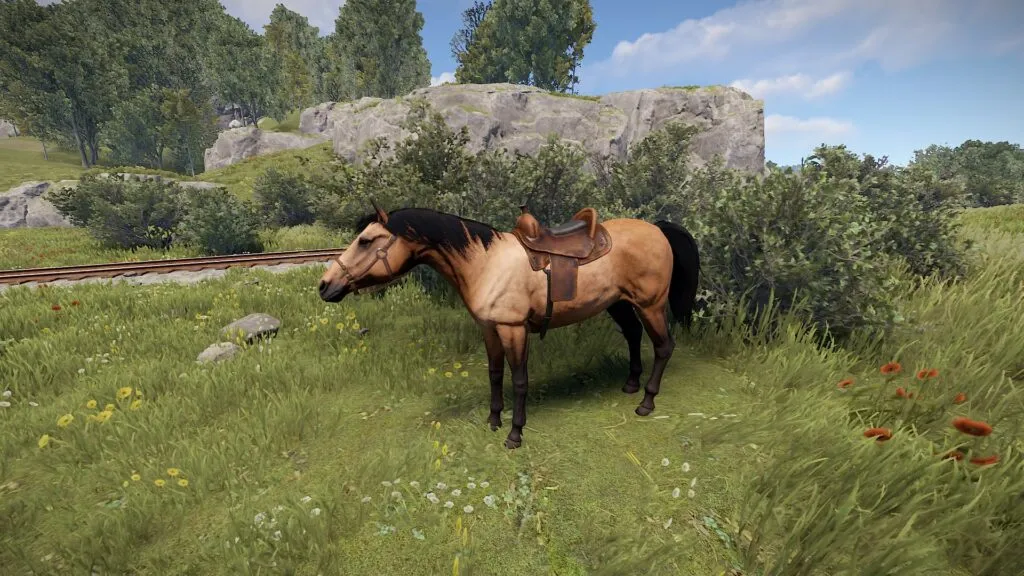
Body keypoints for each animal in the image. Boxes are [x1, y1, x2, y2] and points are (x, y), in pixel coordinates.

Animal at [318, 200, 701, 449]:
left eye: (366, 241)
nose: (325, 285)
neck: (486, 264)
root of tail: (658, 229)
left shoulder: (513, 329)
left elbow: (518, 380)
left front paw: (514, 434)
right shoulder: (491, 328)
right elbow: (494, 374)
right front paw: (492, 420)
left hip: (650, 305)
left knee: (663, 346)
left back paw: (647, 402)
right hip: (619, 303)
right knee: (634, 337)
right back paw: (631, 385)